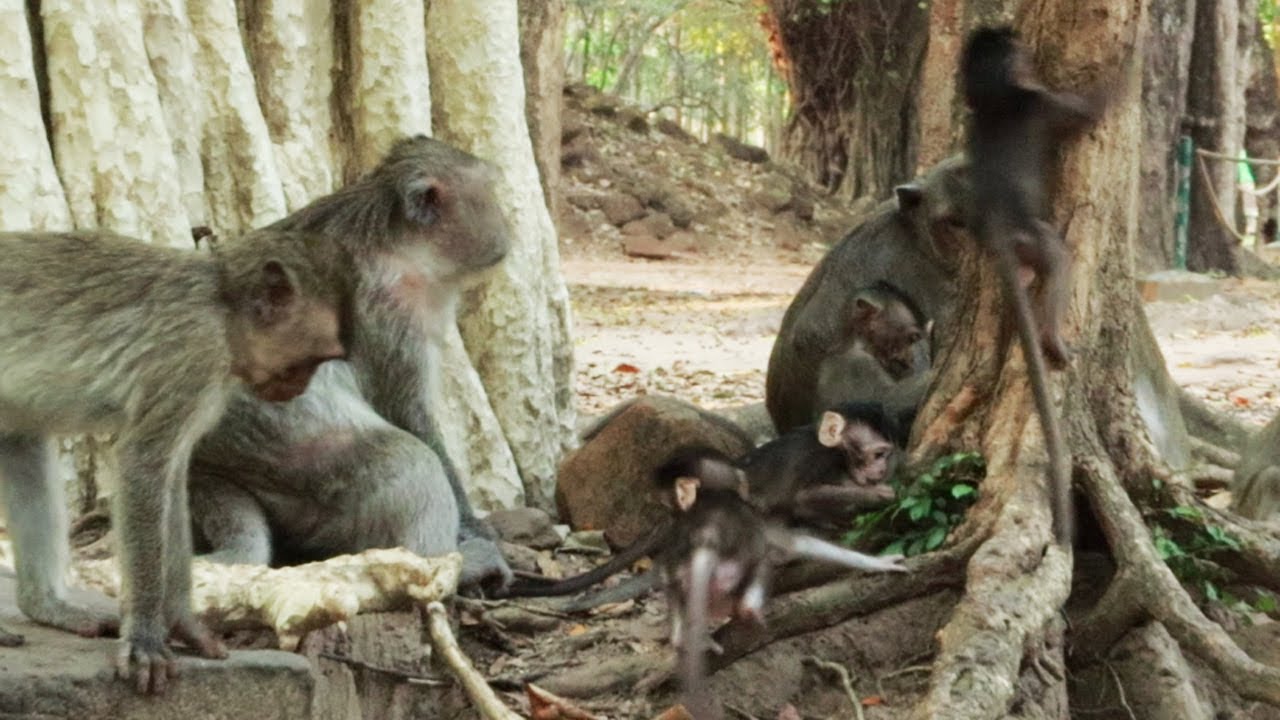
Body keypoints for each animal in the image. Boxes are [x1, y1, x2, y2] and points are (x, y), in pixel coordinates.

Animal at [0, 229, 349, 693]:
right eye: (312, 359)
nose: (299, 388)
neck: (222, 307)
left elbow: (172, 475)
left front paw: (184, 623)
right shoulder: (193, 356)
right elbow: (143, 463)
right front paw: (146, 638)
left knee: (23, 442)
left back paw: (44, 604)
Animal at [187, 135, 516, 592]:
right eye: (489, 193)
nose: (506, 225)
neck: (400, 244)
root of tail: (202, 467)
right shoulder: (387, 313)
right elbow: (408, 414)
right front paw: (471, 526)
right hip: (308, 468)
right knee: (409, 458)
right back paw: (445, 564)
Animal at [961, 26, 1106, 544]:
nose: (1029, 55)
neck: (995, 99)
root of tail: (1000, 234)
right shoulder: (1041, 102)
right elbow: (1096, 106)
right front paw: (1133, 58)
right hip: (1034, 237)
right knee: (1059, 259)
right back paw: (1052, 340)